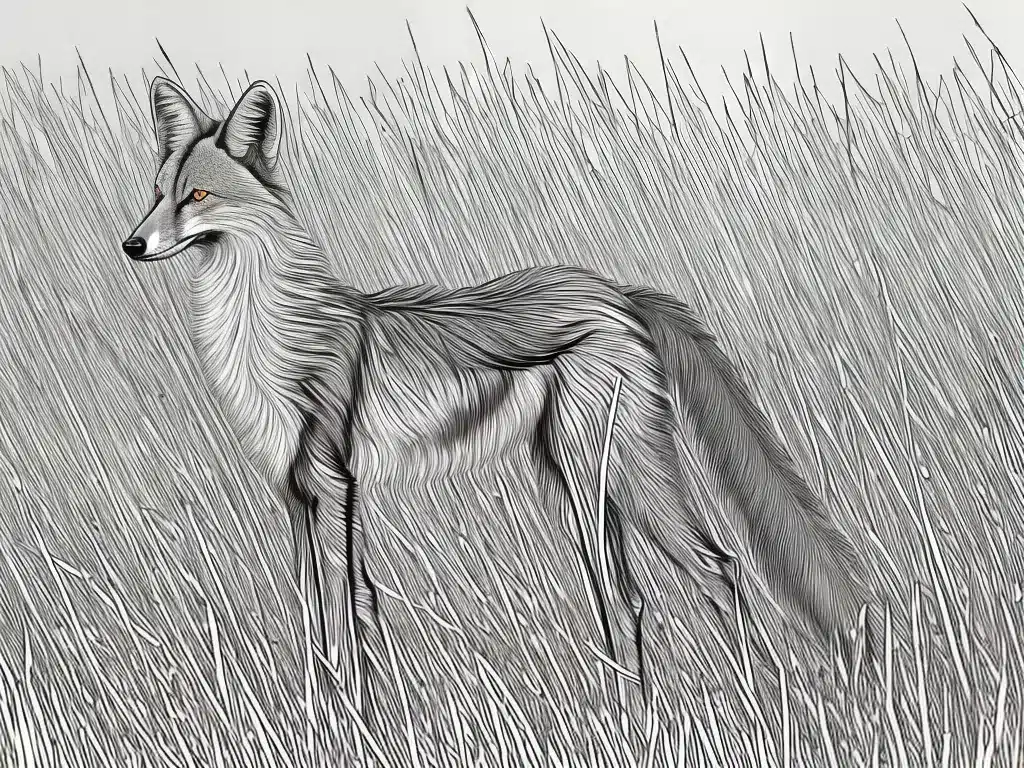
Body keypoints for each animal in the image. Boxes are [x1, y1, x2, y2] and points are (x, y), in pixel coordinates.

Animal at [123, 76, 877, 724]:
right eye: (156, 192)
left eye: (197, 195)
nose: (131, 243)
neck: (268, 336)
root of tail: (613, 287)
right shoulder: (299, 497)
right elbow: (320, 625)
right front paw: (324, 720)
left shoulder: (337, 488)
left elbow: (348, 618)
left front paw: (360, 723)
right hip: (581, 486)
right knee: (629, 602)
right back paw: (631, 719)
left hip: (614, 477)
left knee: (716, 570)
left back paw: (754, 708)